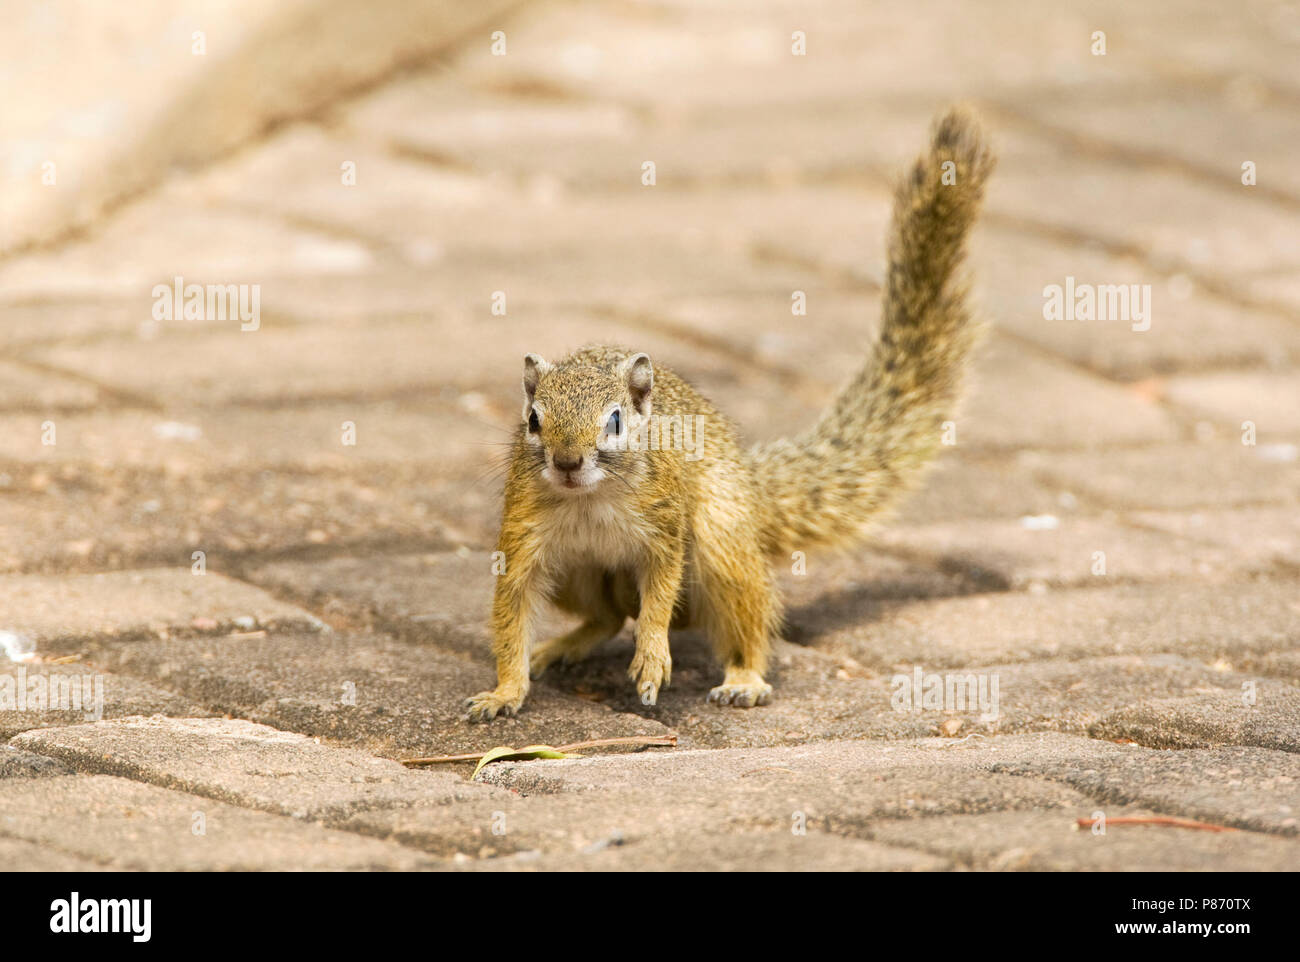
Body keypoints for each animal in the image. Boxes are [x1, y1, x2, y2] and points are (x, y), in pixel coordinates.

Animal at [465, 107, 995, 721]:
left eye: (616, 420)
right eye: (532, 420)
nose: (568, 463)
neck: (589, 500)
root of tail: (752, 489)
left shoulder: (664, 523)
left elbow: (659, 594)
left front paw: (652, 657)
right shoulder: (523, 534)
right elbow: (511, 614)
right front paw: (504, 691)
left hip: (722, 539)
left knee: (737, 619)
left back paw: (744, 678)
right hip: (581, 575)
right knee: (607, 615)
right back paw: (562, 646)